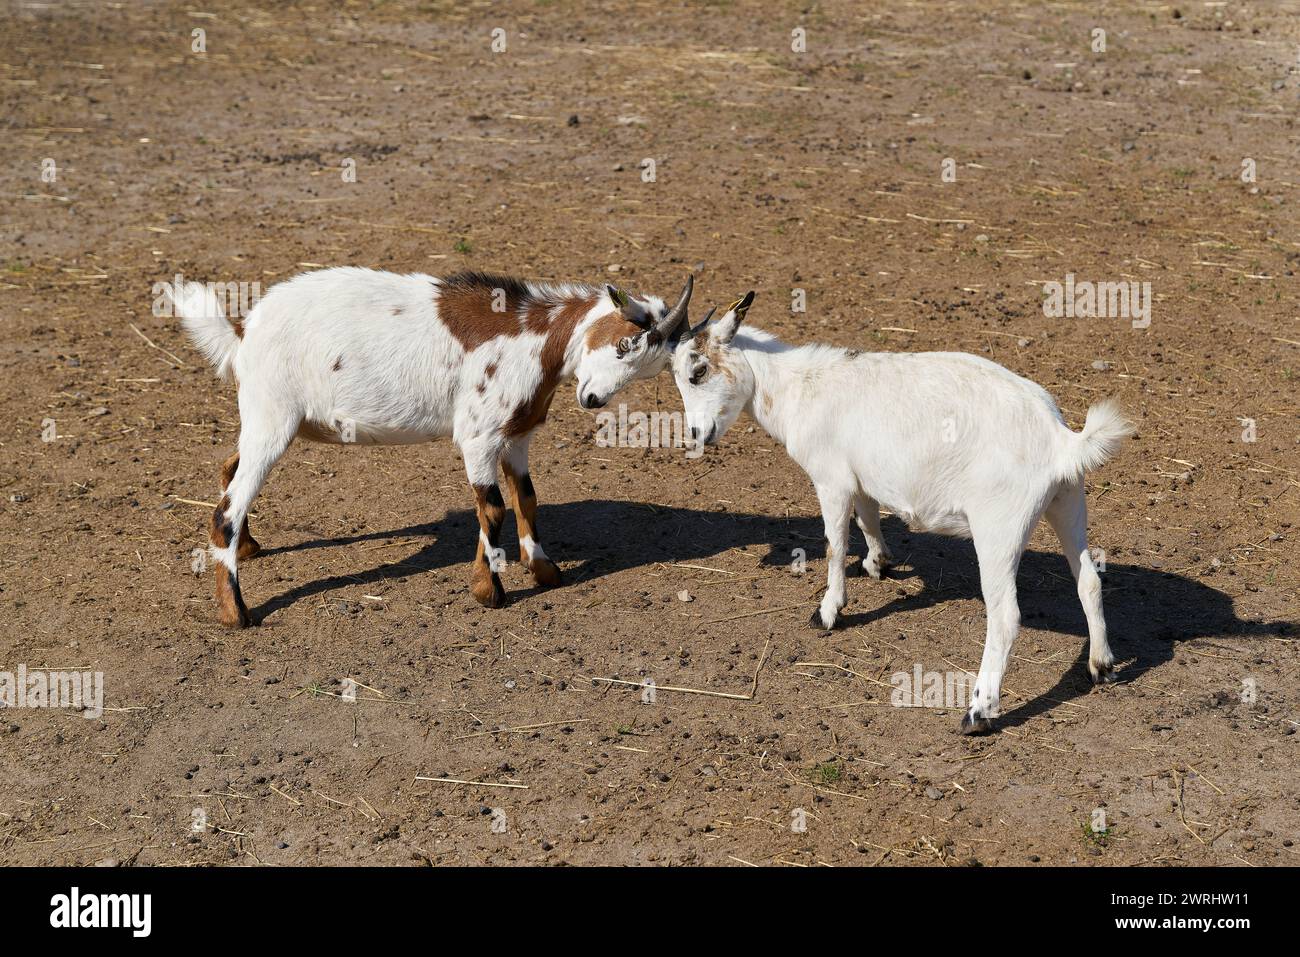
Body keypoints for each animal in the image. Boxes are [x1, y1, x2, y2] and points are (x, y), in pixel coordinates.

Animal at [174, 266, 694, 627]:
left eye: (649, 369)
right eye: (624, 344)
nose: (593, 399)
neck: (535, 340)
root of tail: (244, 334)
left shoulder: (516, 435)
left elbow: (526, 498)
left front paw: (543, 569)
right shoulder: (479, 435)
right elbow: (492, 508)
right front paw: (488, 590)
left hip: (274, 420)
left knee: (229, 471)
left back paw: (249, 548)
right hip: (272, 415)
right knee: (224, 511)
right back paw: (236, 613)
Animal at [670, 293, 1133, 733]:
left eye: (698, 371)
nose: (696, 435)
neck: (798, 387)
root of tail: (1060, 440)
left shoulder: (831, 478)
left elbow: (835, 544)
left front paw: (828, 612)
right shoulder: (861, 477)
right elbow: (868, 517)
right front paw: (879, 562)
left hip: (998, 526)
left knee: (1005, 617)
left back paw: (978, 713)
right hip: (1068, 502)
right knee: (1089, 580)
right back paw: (1101, 666)